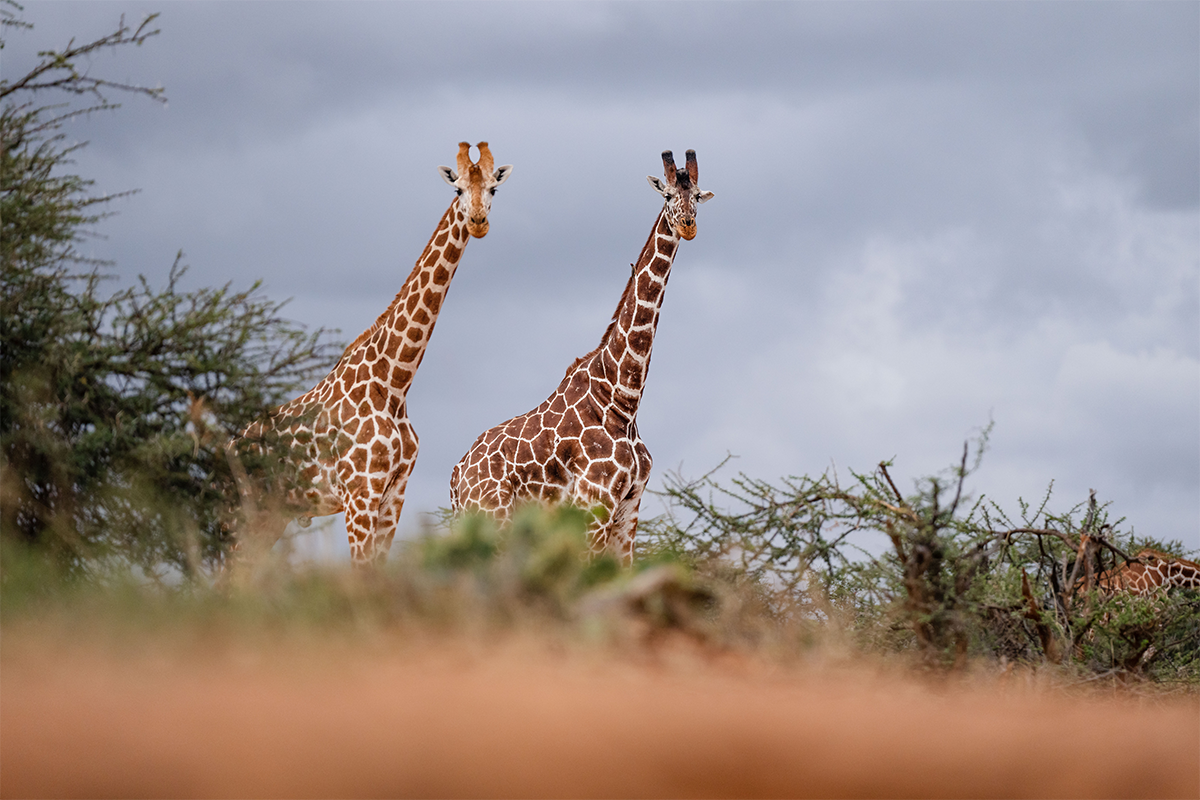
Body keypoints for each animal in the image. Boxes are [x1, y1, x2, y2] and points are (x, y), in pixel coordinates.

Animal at [231, 142, 512, 564]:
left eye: (493, 188)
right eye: (457, 189)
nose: (478, 222)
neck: (394, 382)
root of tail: (229, 447)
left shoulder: (394, 494)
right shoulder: (359, 494)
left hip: (273, 516)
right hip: (247, 511)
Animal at [449, 149, 713, 564]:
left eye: (698, 196)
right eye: (668, 196)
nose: (688, 226)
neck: (622, 398)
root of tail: (456, 479)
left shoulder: (629, 509)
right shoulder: (594, 504)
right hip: (493, 518)